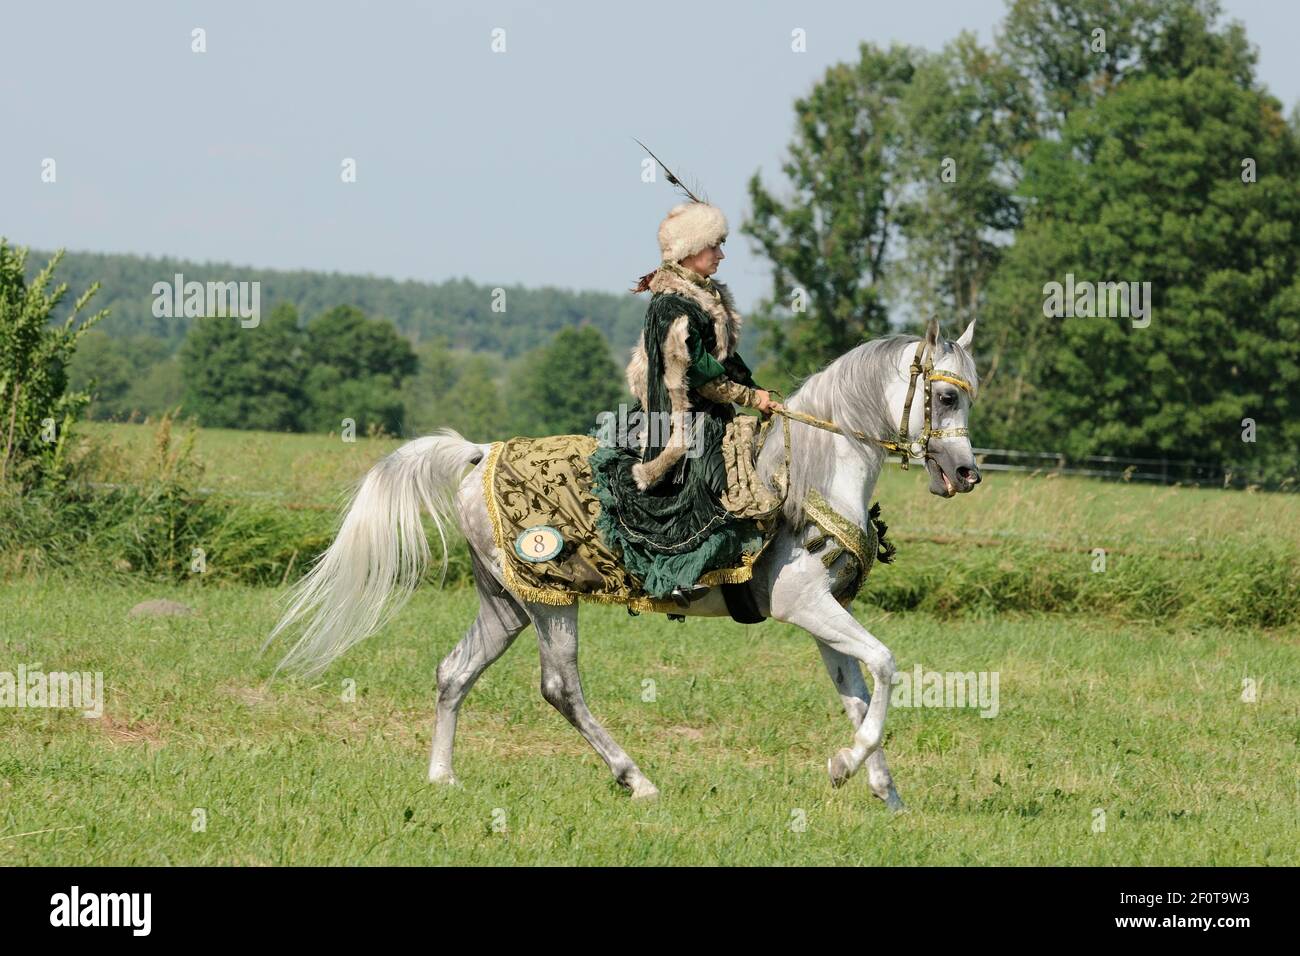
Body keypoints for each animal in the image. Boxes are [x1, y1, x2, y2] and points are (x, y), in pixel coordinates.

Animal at [266, 319, 981, 811]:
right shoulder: (803, 603)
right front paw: (846, 768)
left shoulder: (825, 613)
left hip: (505, 601)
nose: (966, 473)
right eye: (945, 400)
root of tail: (480, 454)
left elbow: (857, 692)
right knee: (560, 688)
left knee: (454, 673)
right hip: (549, 598)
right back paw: (636, 778)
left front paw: (883, 791)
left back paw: (443, 778)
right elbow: (885, 665)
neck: (809, 472)